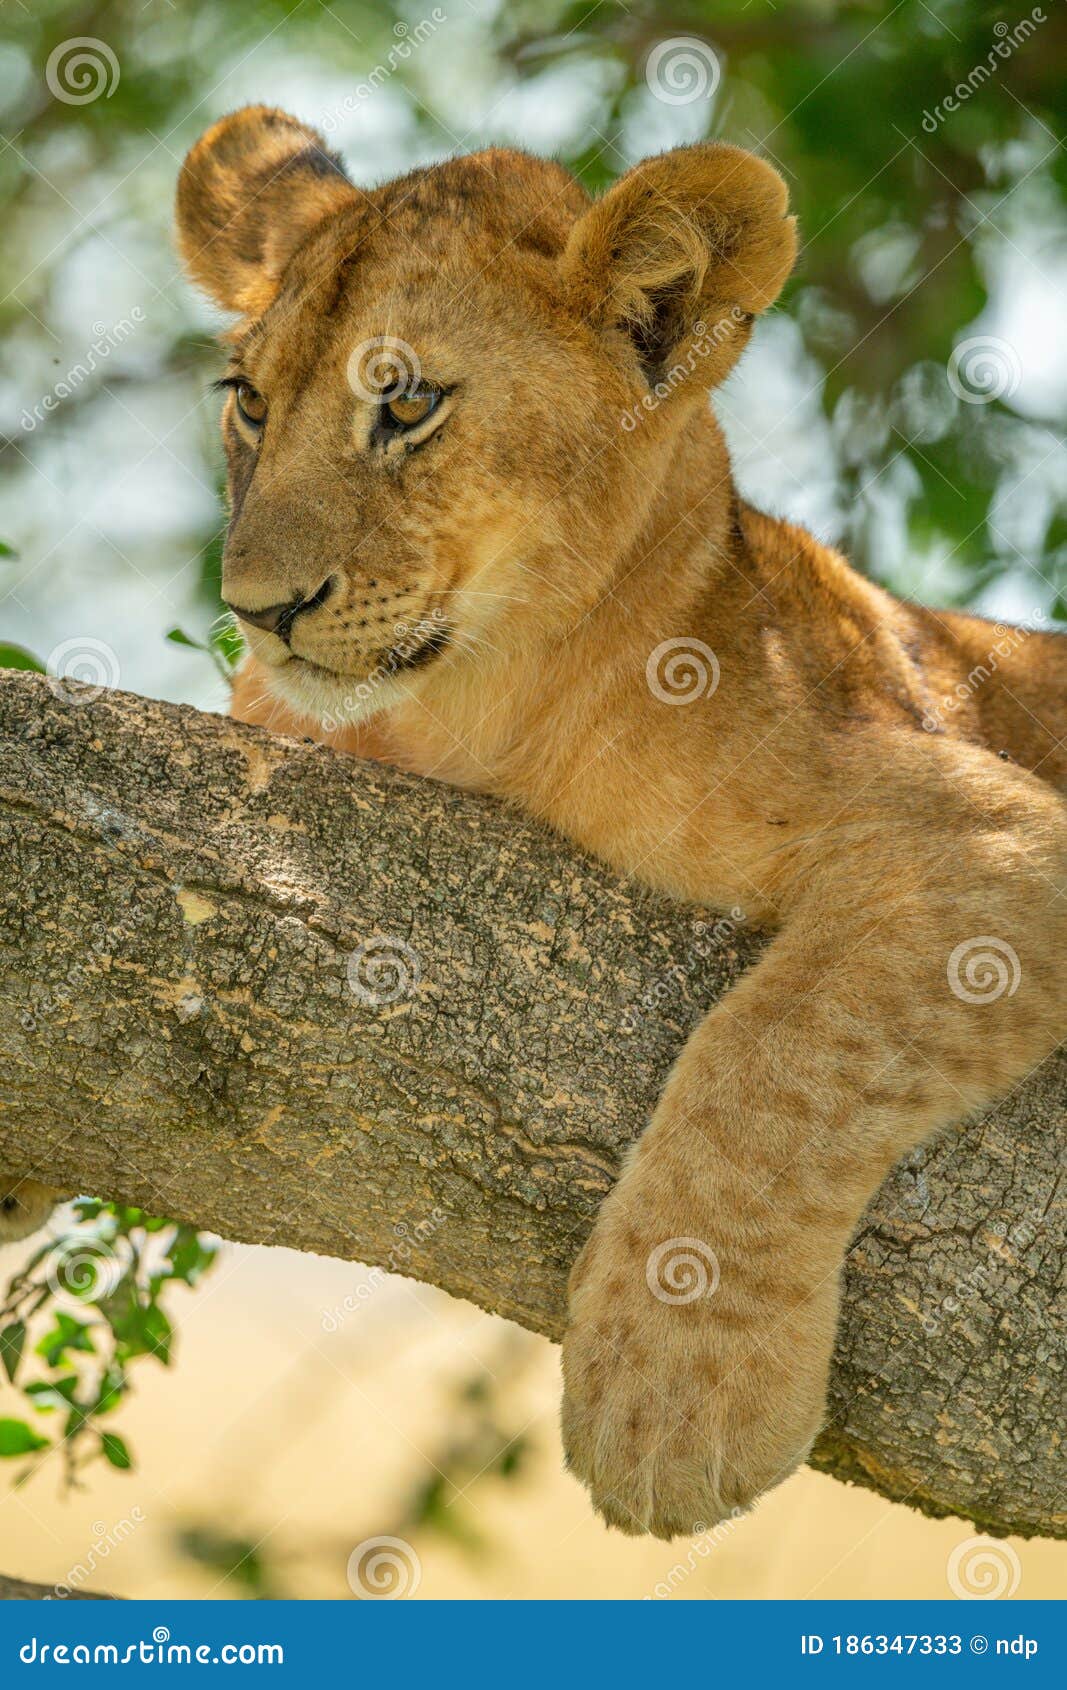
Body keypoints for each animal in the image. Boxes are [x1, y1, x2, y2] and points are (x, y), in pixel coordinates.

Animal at [172, 106, 1066, 1539]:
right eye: (249, 402)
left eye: (405, 402)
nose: (259, 610)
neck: (457, 717)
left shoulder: (993, 834)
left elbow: (777, 1053)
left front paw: (676, 1393)